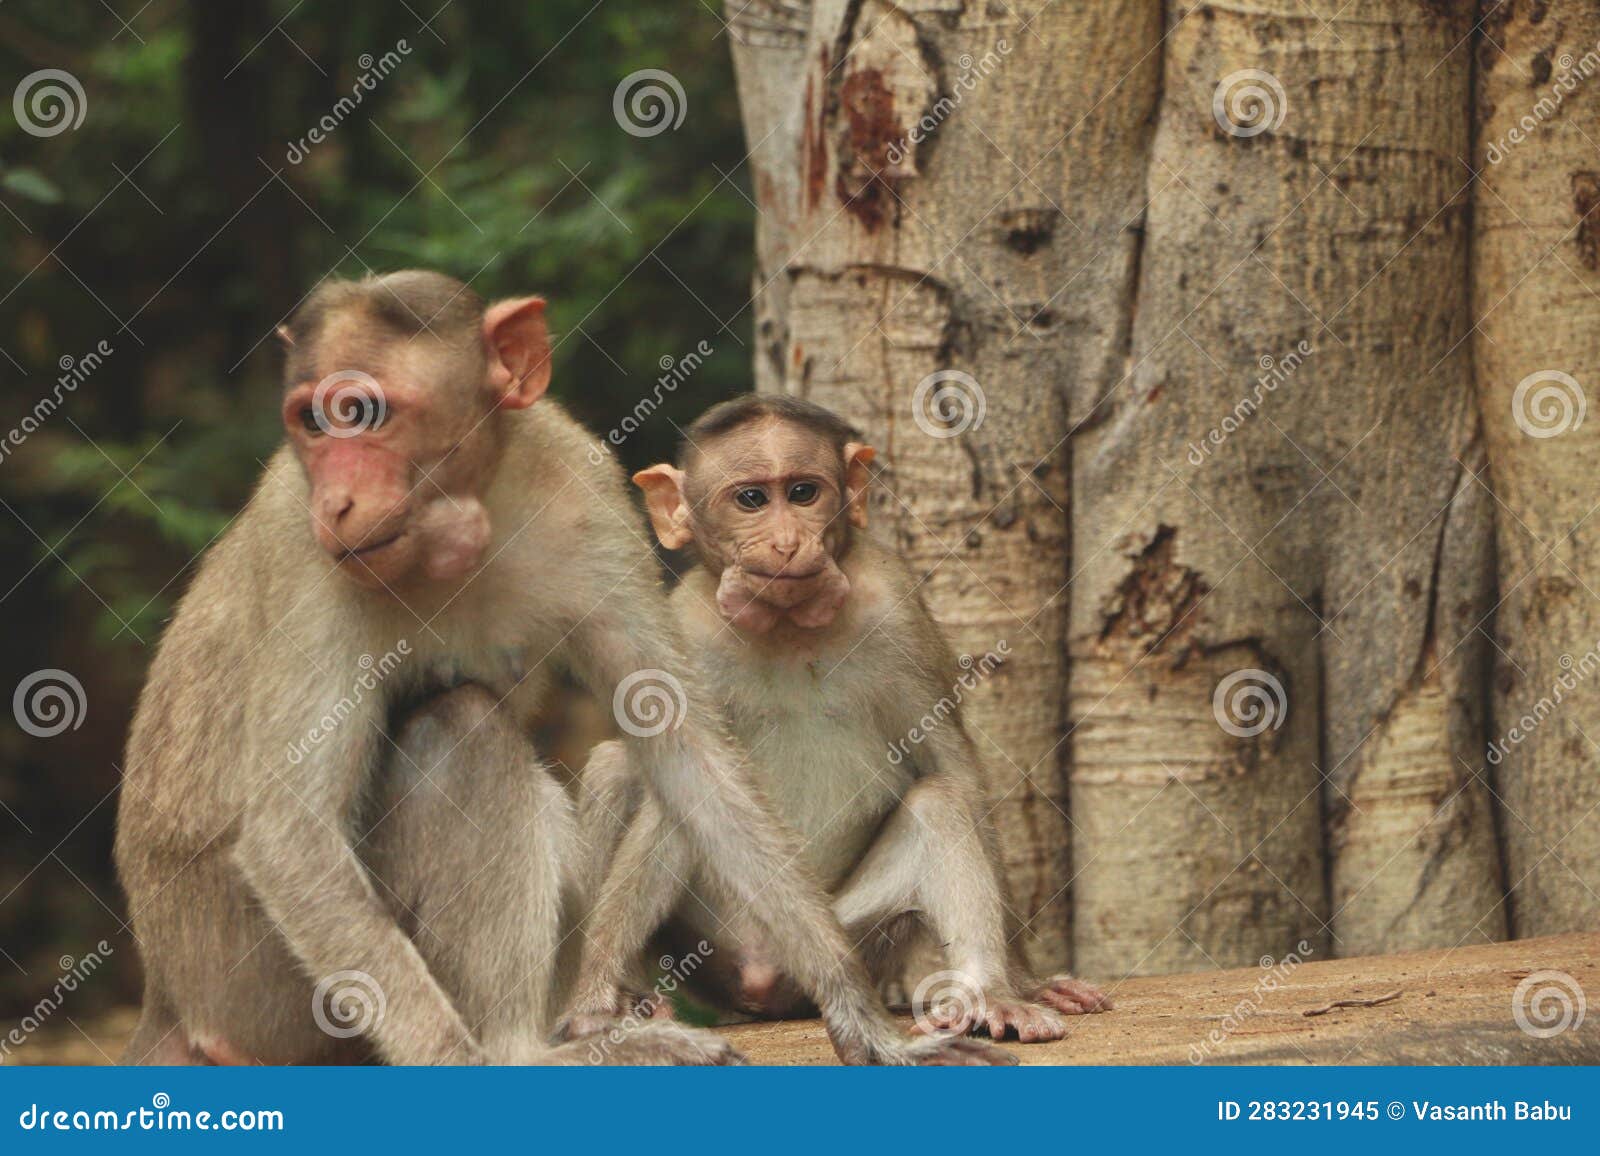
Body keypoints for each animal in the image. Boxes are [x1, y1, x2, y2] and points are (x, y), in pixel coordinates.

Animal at [113, 271, 1007, 1067]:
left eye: (362, 413)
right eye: (312, 422)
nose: (337, 500)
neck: (465, 510)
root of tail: (168, 998)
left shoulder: (584, 489)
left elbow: (688, 753)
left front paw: (861, 1018)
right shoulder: (308, 556)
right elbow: (289, 837)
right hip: (261, 992)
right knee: (461, 728)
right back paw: (522, 1051)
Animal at [561, 395, 1111, 1044]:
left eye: (803, 492)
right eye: (751, 499)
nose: (786, 541)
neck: (787, 627)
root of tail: (762, 978)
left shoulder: (895, 607)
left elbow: (951, 766)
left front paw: (1026, 980)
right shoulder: (682, 629)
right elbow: (682, 767)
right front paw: (595, 998)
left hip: (847, 944)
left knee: (939, 803)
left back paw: (990, 996)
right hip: (718, 946)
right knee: (627, 771)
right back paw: (629, 993)